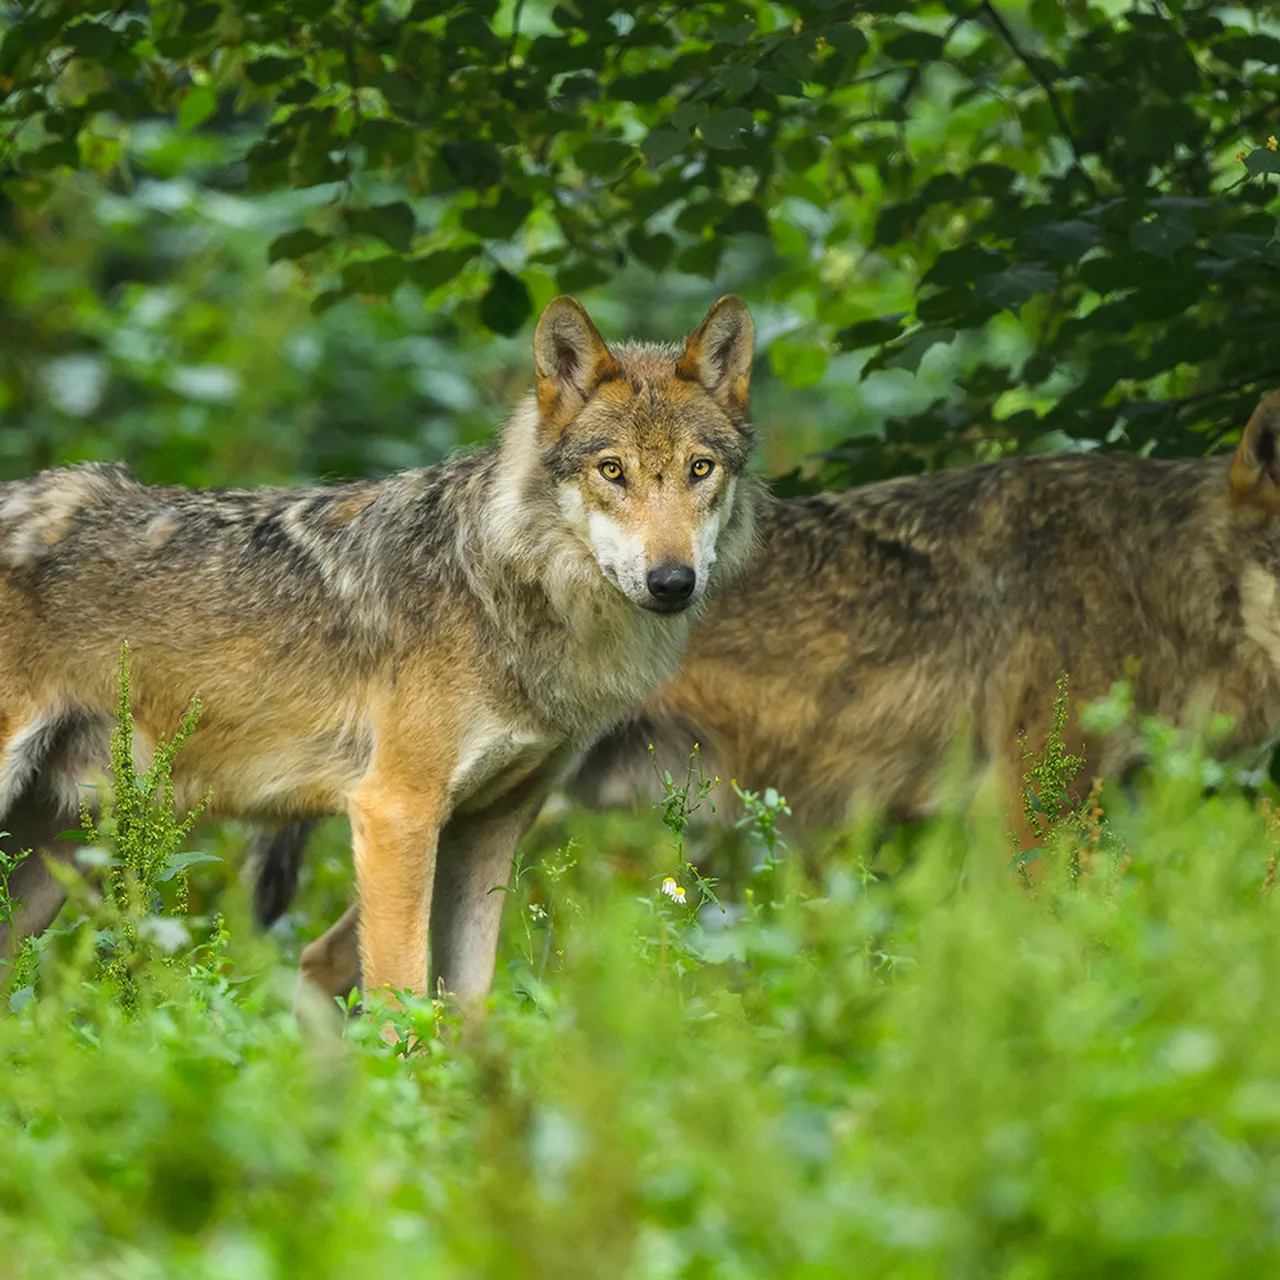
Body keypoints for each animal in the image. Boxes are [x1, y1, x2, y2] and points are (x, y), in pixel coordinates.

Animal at [0, 293, 761, 1012]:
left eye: (700, 469)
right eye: (612, 471)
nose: (672, 581)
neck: (504, 590)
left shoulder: (489, 827)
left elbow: (466, 1007)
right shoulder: (394, 812)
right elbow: (403, 1007)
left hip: (51, 859)